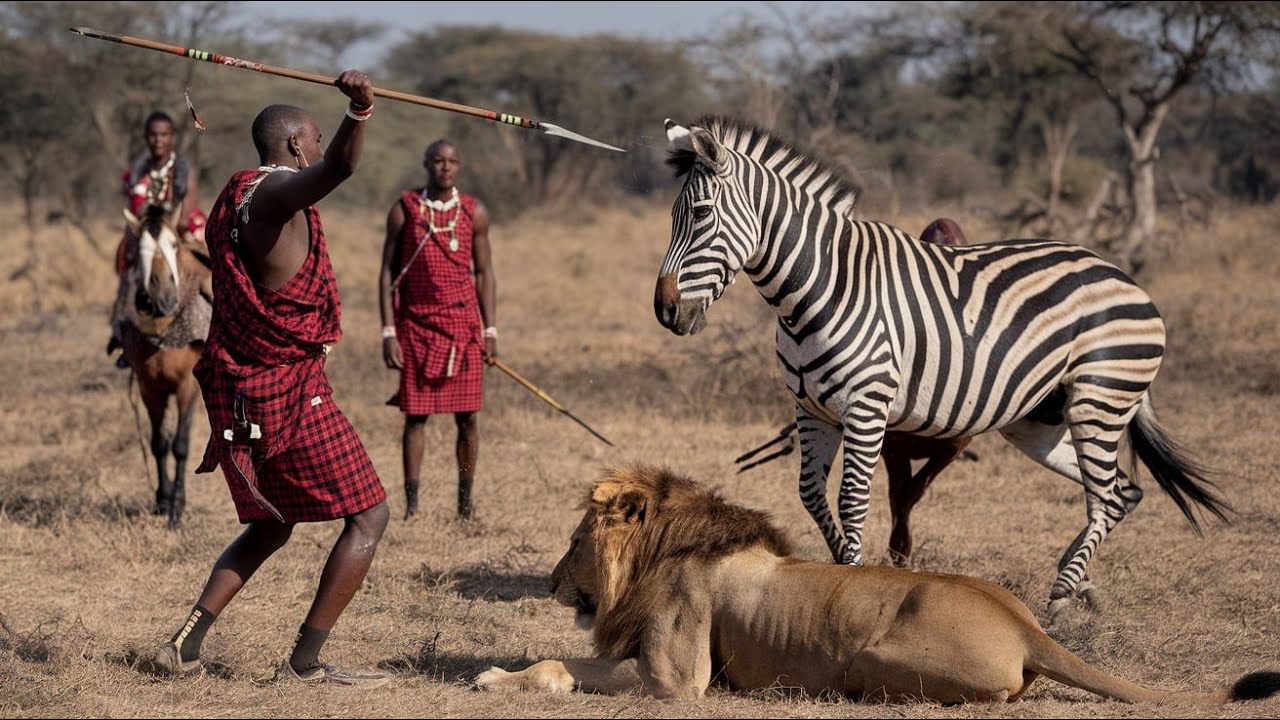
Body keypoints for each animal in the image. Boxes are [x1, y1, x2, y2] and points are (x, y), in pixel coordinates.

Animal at [110, 203, 212, 529]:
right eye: (138, 251)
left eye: (173, 245)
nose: (163, 298)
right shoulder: (149, 387)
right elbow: (158, 444)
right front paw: (163, 500)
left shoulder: (187, 386)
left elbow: (180, 446)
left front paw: (177, 510)